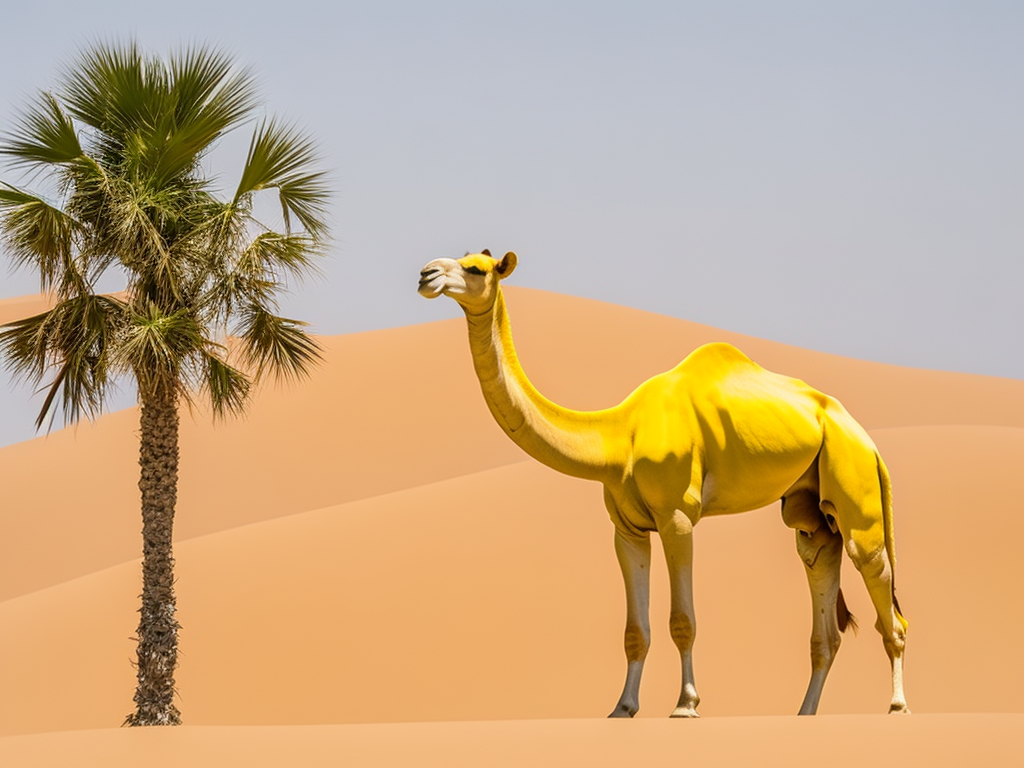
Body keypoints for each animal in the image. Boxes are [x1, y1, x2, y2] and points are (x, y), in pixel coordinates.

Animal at [417, 250, 909, 717]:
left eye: (477, 269)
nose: (426, 274)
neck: (619, 438)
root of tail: (865, 439)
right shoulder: (627, 530)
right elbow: (636, 631)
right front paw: (622, 707)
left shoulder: (677, 518)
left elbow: (682, 621)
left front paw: (686, 704)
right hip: (810, 515)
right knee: (822, 588)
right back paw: (805, 712)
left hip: (856, 486)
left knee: (887, 602)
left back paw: (897, 705)